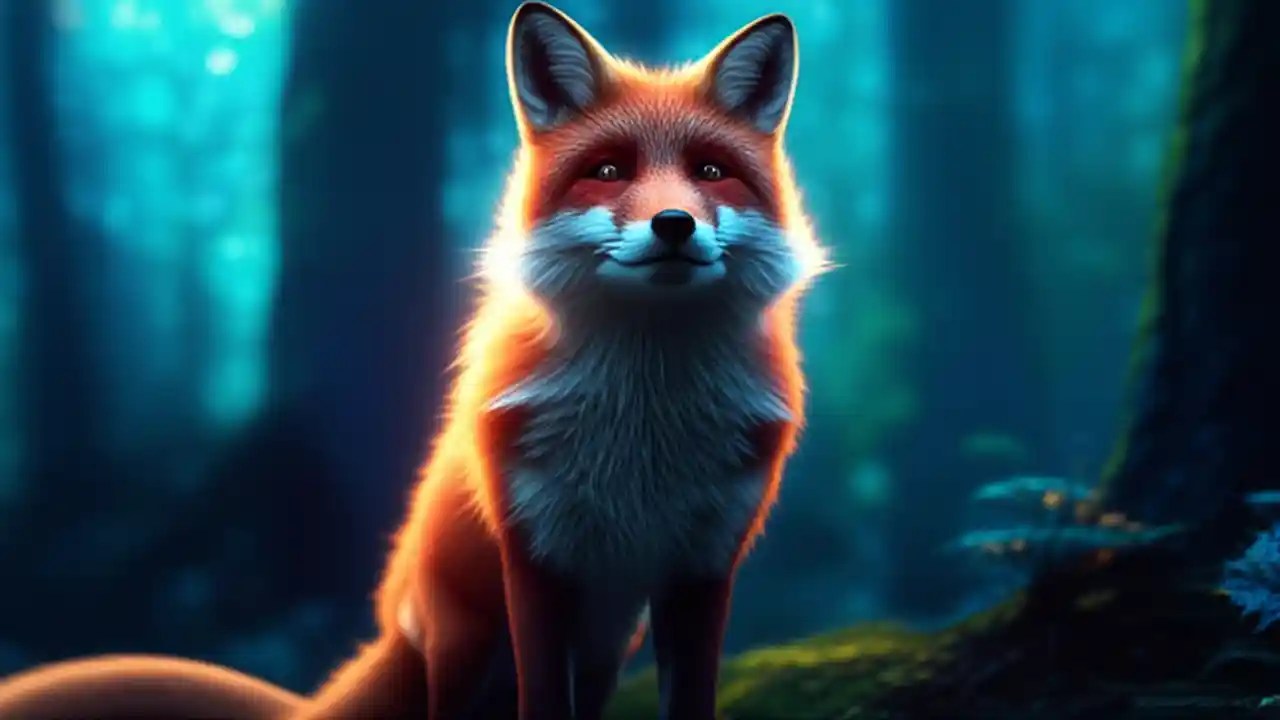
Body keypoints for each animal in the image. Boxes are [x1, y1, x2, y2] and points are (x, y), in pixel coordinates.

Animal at [0, 3, 825, 719]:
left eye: (710, 172)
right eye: (610, 171)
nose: (674, 223)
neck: (643, 435)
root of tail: (398, 612)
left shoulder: (703, 566)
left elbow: (690, 696)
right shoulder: (537, 556)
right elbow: (542, 701)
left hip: (604, 645)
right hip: (467, 641)